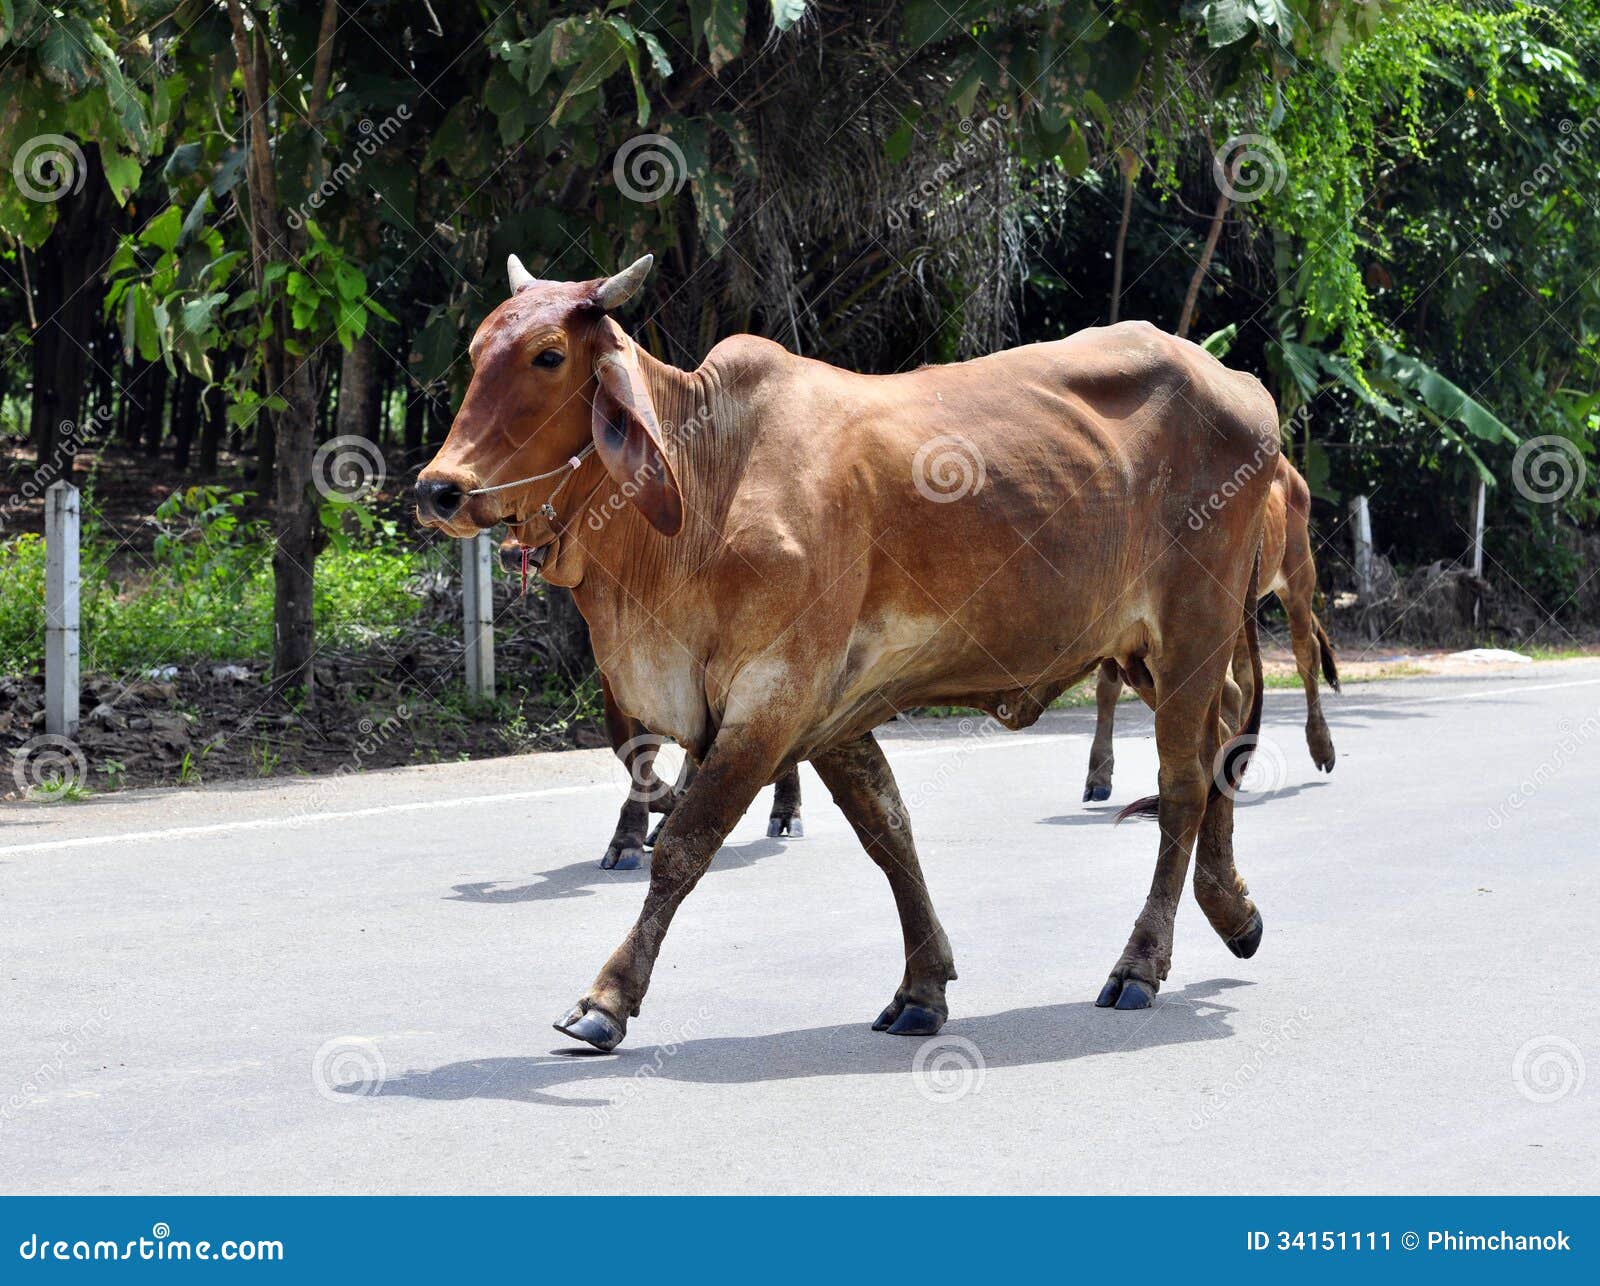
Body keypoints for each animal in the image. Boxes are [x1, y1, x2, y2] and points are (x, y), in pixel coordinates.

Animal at [416, 253, 1280, 1052]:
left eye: (548, 356)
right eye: (476, 349)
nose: (438, 489)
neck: (709, 479)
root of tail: (1239, 382)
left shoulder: (775, 694)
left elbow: (685, 846)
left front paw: (606, 1000)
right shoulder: (828, 706)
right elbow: (887, 831)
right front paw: (922, 988)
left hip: (1193, 630)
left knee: (1181, 787)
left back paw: (1140, 965)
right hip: (1142, 649)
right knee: (1218, 746)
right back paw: (1232, 910)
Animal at [1082, 454, 1340, 801]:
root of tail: (1290, 470)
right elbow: (1108, 689)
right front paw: (1098, 777)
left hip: (1298, 572)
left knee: (1305, 651)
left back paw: (1321, 746)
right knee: (1248, 671)